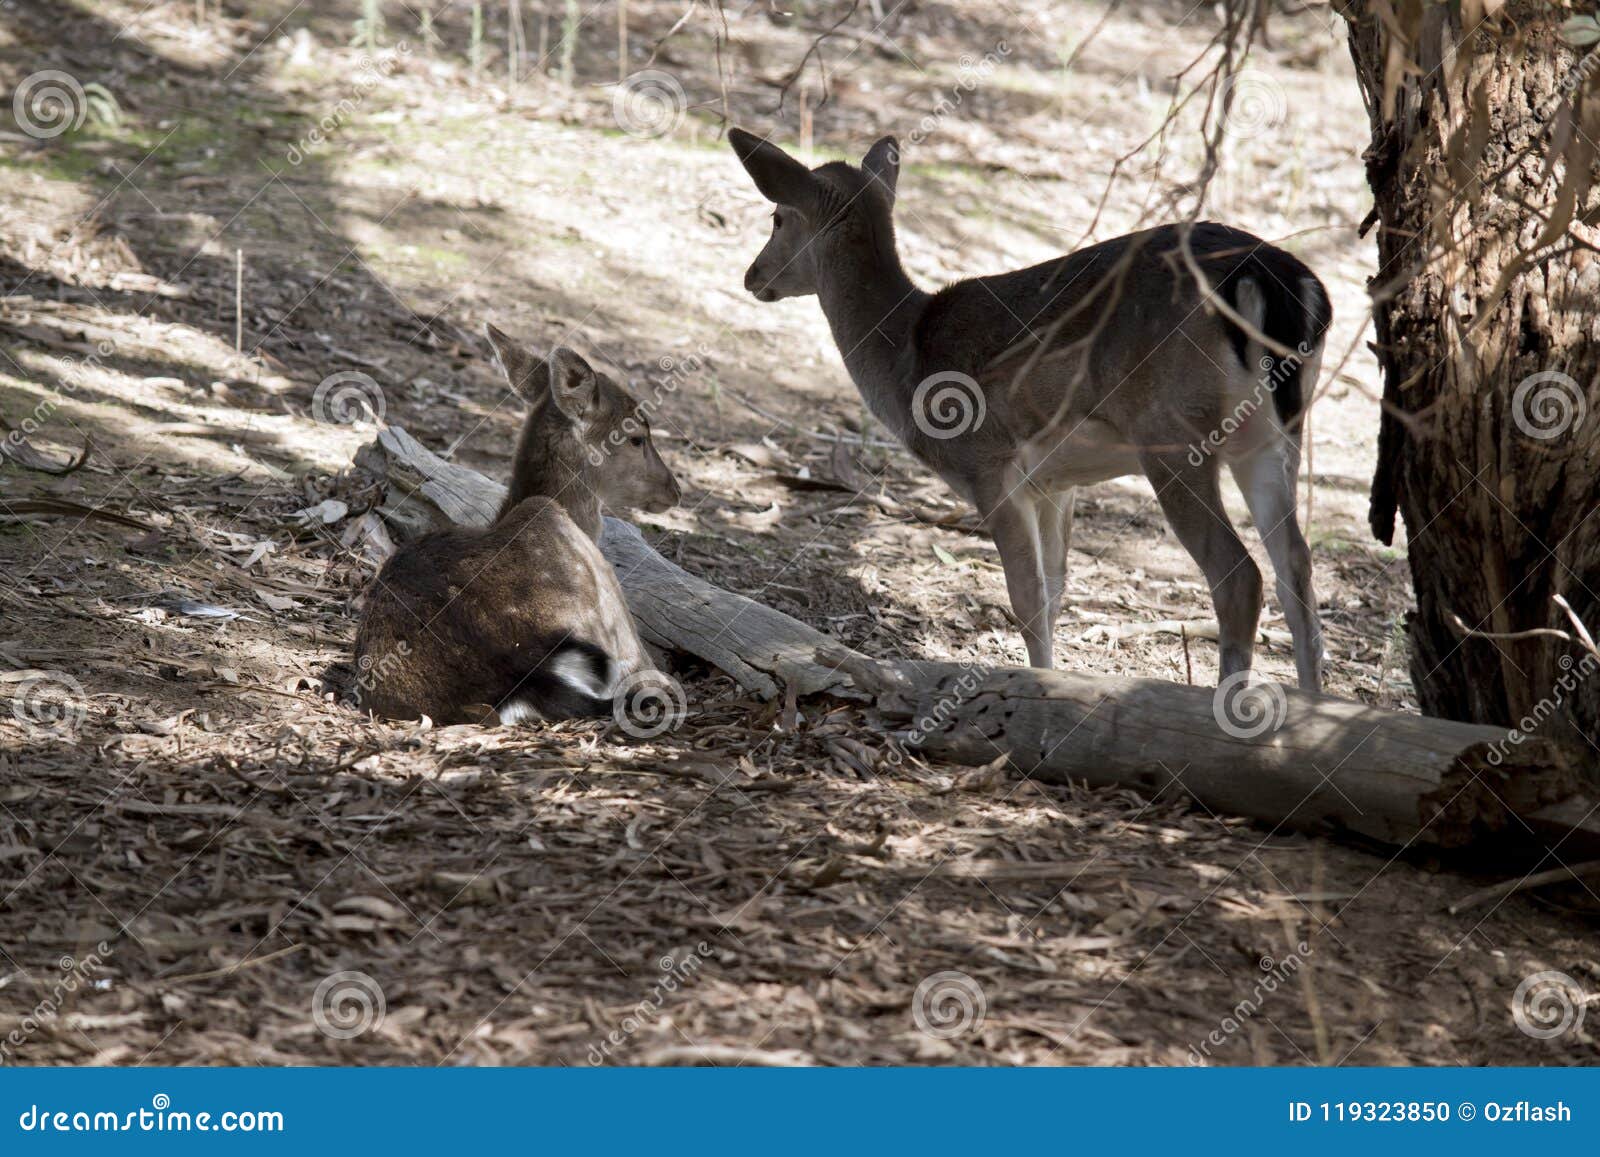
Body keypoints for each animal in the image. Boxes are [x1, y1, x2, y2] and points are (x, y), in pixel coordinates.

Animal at [728, 128, 1331, 691]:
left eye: (777, 217)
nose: (752, 275)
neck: (905, 357)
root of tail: (1275, 280)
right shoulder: (1055, 485)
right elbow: (1057, 589)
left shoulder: (989, 467)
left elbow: (1026, 599)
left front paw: (1040, 688)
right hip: (1275, 437)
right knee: (1297, 567)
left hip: (1173, 436)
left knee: (1239, 575)